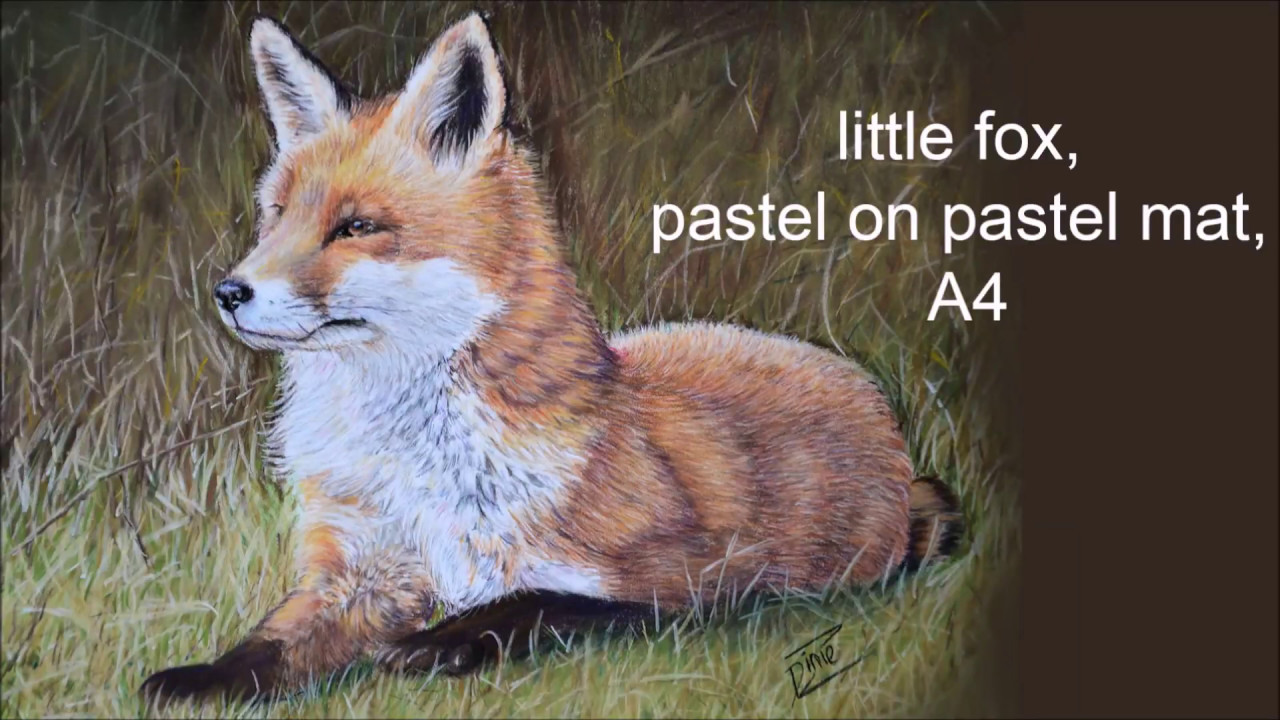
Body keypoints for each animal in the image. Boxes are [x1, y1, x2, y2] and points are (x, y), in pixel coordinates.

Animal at [140, 12, 963, 705]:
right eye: (278, 215)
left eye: (356, 227)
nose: (228, 292)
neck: (420, 468)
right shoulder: (359, 570)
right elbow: (271, 644)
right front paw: (199, 680)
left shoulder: (690, 586)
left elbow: (538, 603)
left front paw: (435, 644)